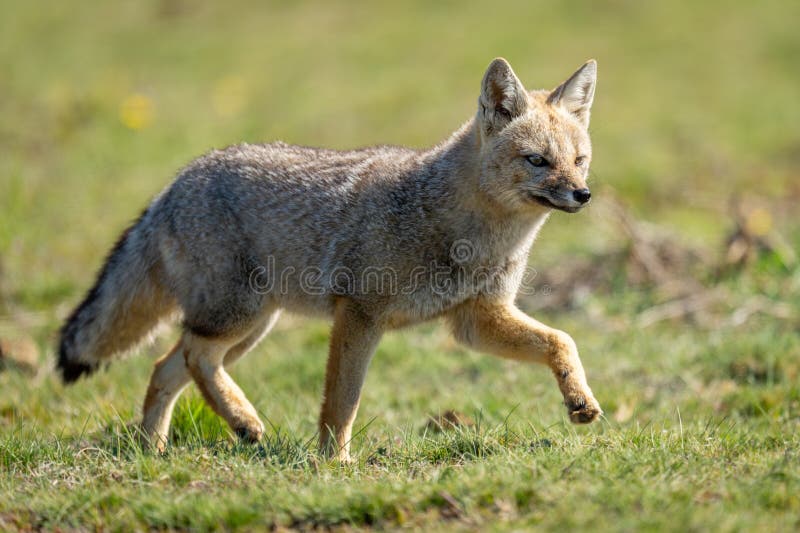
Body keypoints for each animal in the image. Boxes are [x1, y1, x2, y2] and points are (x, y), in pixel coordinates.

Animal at [58, 58, 602, 461]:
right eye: (537, 161)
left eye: (579, 161)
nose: (583, 195)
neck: (471, 235)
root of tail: (174, 183)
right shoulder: (359, 314)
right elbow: (343, 400)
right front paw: (334, 462)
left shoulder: (475, 319)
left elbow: (562, 340)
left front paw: (580, 400)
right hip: (237, 319)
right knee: (192, 356)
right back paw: (242, 421)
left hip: (250, 327)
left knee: (166, 365)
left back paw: (154, 447)